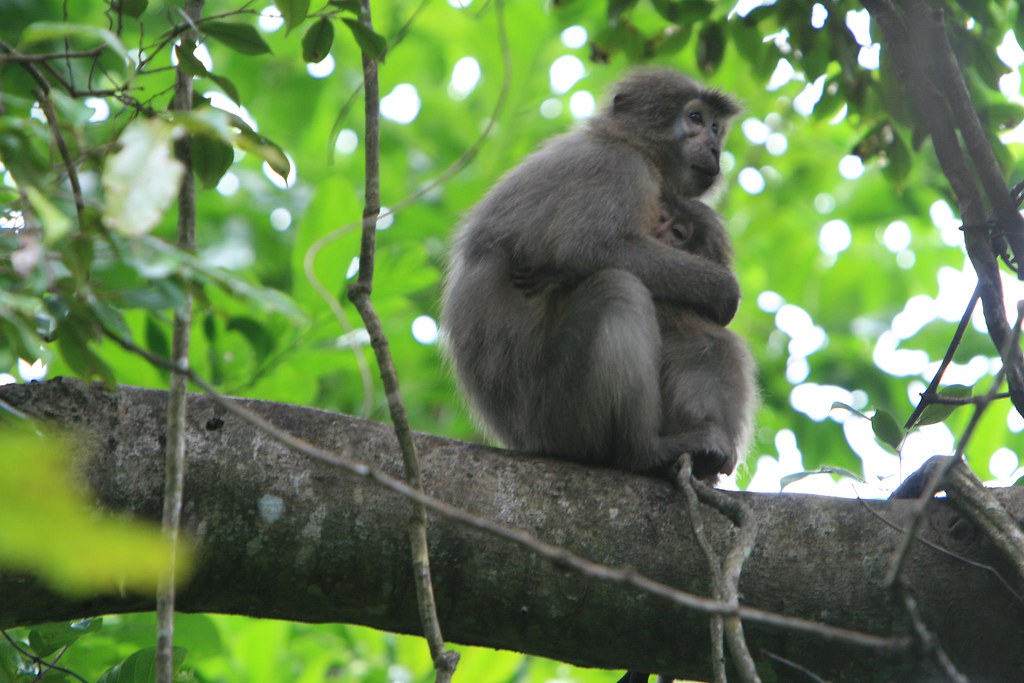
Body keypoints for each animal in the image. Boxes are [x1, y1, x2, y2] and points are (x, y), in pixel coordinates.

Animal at [440, 68, 741, 476]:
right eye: (695, 118)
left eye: (716, 127)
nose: (714, 148)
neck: (625, 141)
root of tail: (522, 440)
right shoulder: (621, 167)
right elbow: (585, 247)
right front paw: (723, 290)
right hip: (560, 415)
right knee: (618, 288)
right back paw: (645, 452)